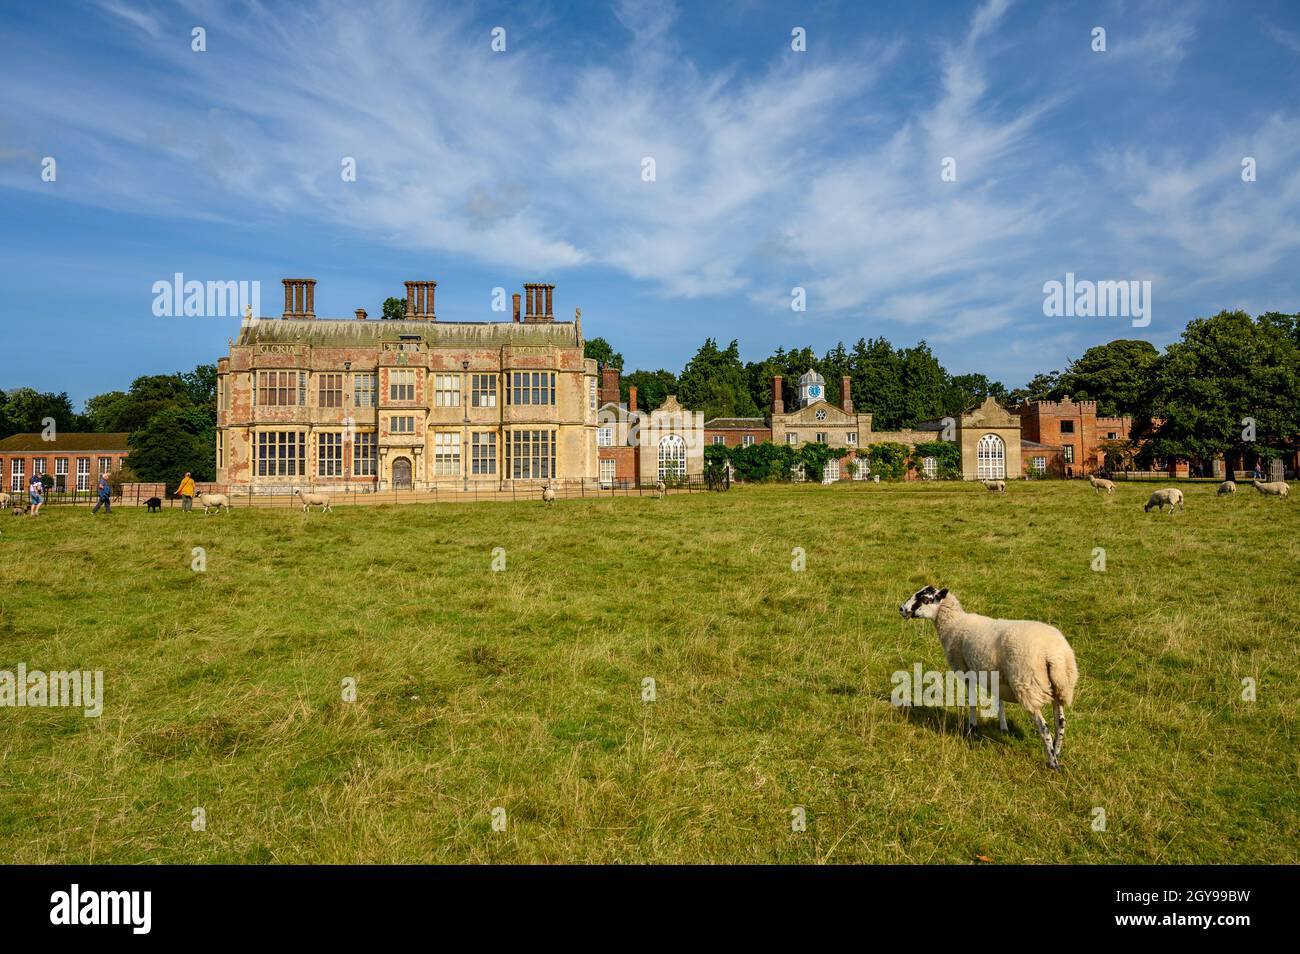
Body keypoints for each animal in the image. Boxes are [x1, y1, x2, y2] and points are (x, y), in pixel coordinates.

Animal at [899, 585, 1079, 770]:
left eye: (925, 599)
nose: (902, 609)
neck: (954, 624)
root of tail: (1055, 654)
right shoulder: (997, 678)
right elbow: (1000, 703)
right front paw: (1003, 728)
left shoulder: (965, 670)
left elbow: (972, 701)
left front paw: (971, 728)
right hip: (1060, 687)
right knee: (1061, 722)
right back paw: (1057, 752)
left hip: (1028, 685)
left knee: (1044, 727)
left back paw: (1053, 763)